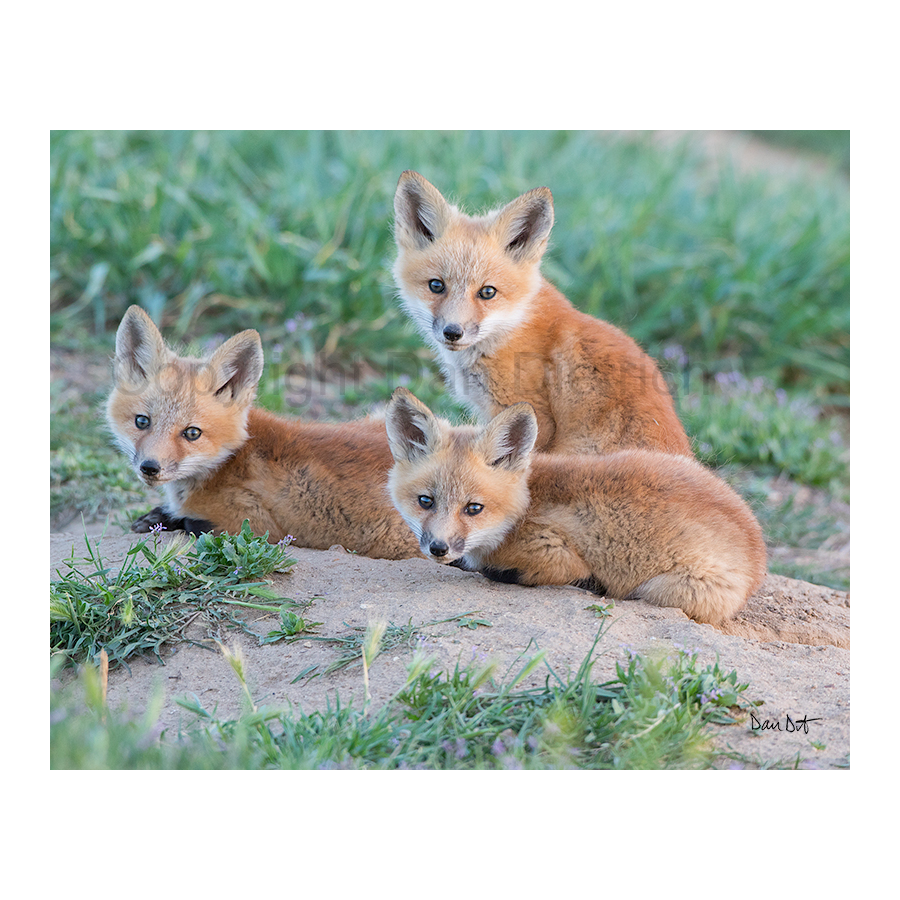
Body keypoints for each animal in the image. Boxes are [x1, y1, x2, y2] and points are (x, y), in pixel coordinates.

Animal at [105, 305, 422, 559]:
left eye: (192, 433)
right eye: (142, 421)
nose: (150, 468)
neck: (227, 462)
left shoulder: (254, 525)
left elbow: (193, 524)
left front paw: (167, 519)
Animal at [385, 388, 766, 625]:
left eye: (474, 508)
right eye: (425, 501)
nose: (439, 548)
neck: (525, 507)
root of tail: (758, 546)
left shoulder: (556, 553)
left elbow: (510, 572)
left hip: (667, 589)